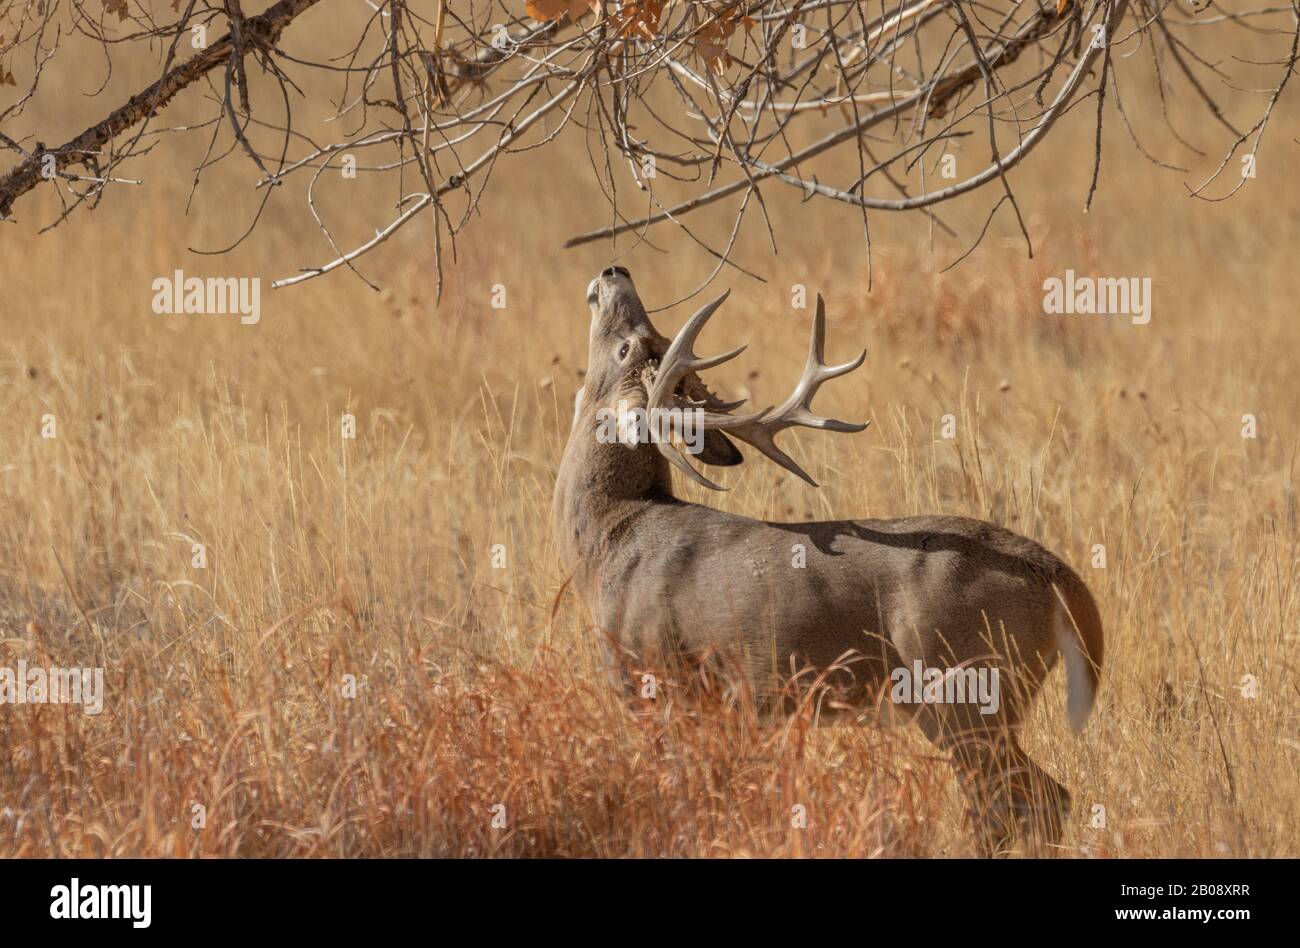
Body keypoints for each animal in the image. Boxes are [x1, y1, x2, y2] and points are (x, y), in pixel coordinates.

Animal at [553, 266, 1105, 855]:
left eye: (627, 346)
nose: (614, 271)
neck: (610, 539)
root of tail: (1052, 571)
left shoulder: (652, 680)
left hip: (963, 688)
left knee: (1022, 802)